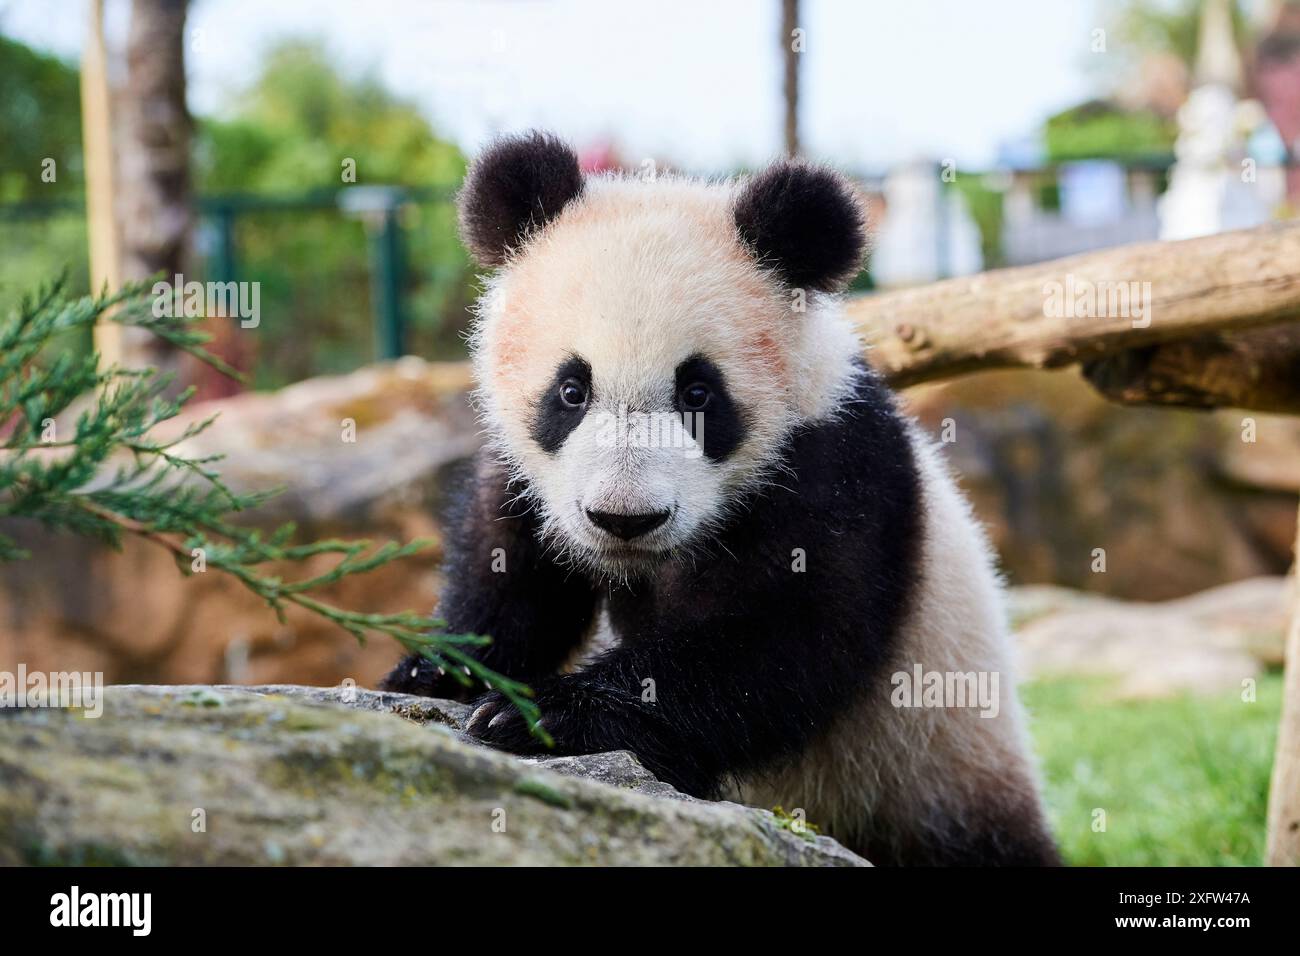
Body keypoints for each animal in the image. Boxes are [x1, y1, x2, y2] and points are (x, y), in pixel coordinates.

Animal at [383, 131, 1060, 866]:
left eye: (699, 394)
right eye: (571, 390)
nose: (624, 518)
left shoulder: (834, 459)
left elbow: (787, 639)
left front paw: (549, 712)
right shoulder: (531, 475)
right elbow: (510, 576)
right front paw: (436, 675)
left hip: (937, 773)